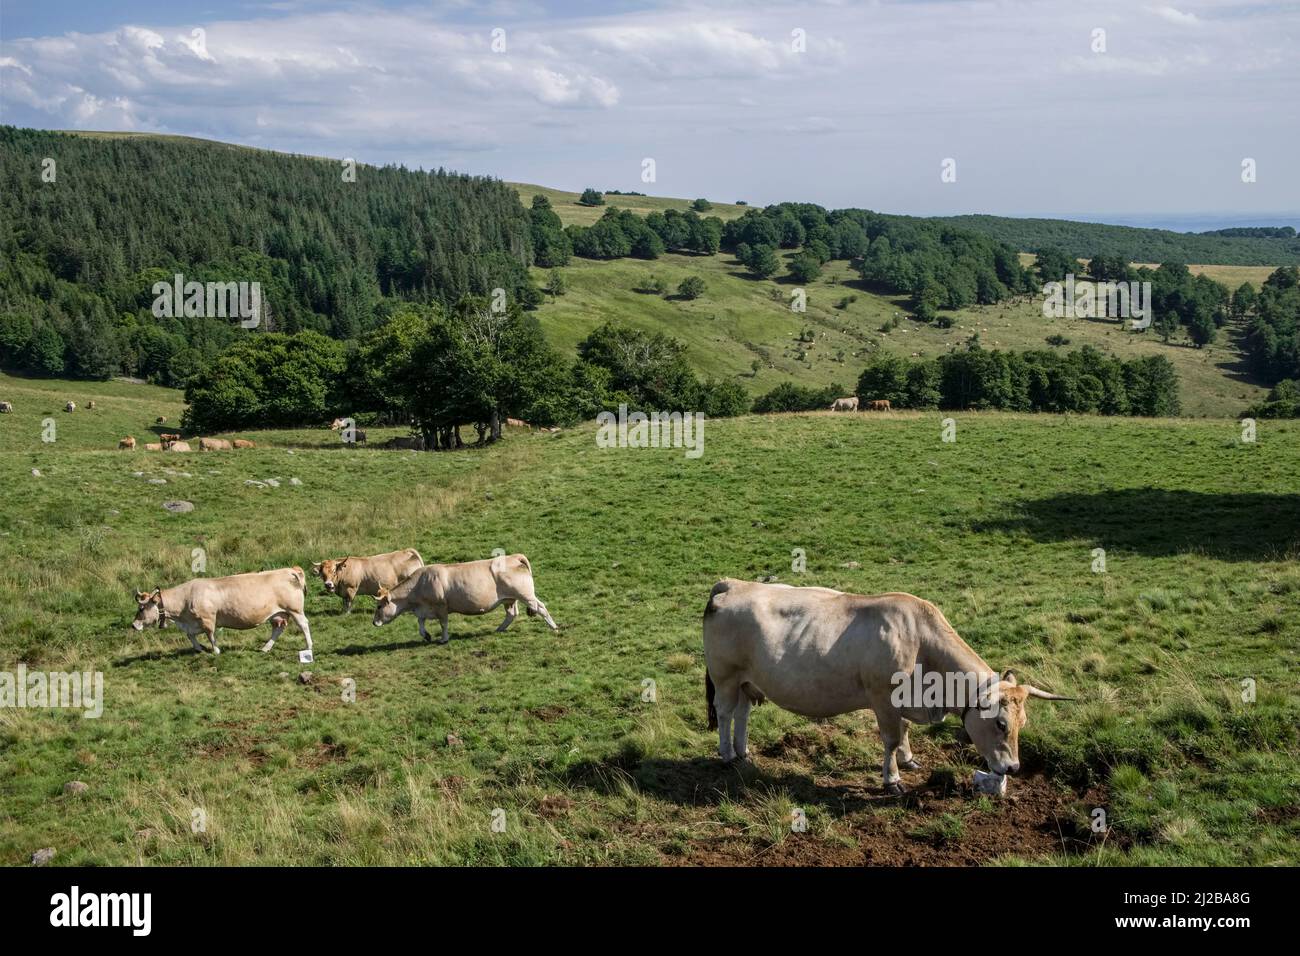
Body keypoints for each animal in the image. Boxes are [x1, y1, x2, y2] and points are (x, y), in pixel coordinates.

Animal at [129, 567, 312, 656]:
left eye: (141, 608)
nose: (133, 625)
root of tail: (289, 570)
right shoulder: (193, 623)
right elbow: (190, 635)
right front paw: (199, 648)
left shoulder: (208, 619)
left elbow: (210, 635)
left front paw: (216, 650)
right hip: (278, 614)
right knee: (278, 628)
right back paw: (265, 648)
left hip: (295, 609)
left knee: (304, 625)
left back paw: (309, 646)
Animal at [372, 553, 558, 644]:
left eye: (379, 607)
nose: (374, 622)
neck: (420, 583)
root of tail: (513, 557)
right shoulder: (423, 609)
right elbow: (420, 624)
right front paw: (427, 636)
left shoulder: (441, 606)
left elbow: (443, 624)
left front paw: (443, 639)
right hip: (509, 599)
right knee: (511, 614)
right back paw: (499, 629)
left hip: (525, 595)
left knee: (541, 607)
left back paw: (554, 627)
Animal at [702, 579, 1071, 794]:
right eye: (1001, 723)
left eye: (1023, 722)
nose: (1013, 768)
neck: (922, 644)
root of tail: (731, 584)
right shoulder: (883, 699)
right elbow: (891, 739)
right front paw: (892, 778)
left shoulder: (905, 701)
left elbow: (905, 730)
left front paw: (909, 760)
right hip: (725, 677)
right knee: (725, 712)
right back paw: (727, 754)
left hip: (747, 680)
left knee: (743, 713)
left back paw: (743, 752)